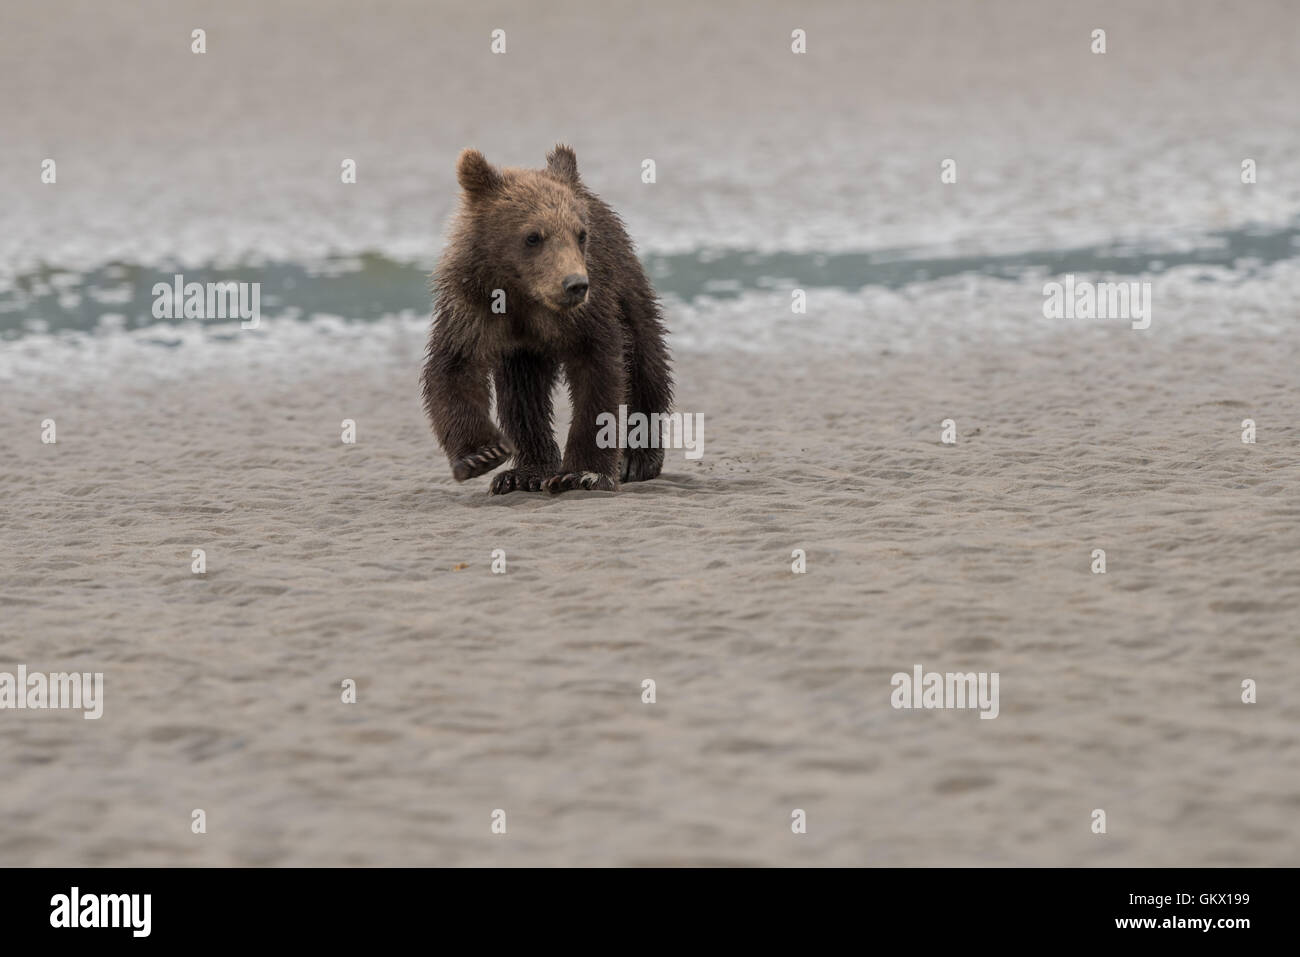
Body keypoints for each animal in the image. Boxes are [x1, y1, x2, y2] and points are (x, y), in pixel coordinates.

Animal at [421, 144, 673, 494]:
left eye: (581, 234)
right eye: (533, 236)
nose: (575, 284)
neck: (526, 298)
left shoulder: (589, 316)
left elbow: (600, 374)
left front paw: (583, 473)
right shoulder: (469, 309)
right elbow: (453, 368)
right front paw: (482, 454)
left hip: (625, 284)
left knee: (645, 357)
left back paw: (638, 459)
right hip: (524, 353)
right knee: (522, 392)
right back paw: (525, 473)